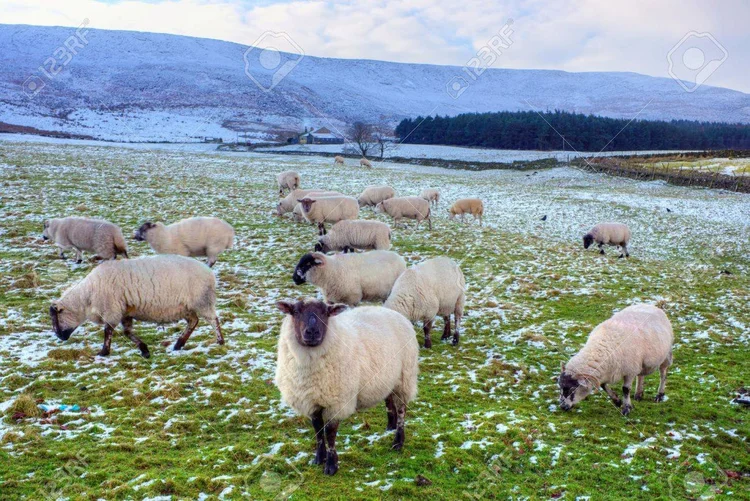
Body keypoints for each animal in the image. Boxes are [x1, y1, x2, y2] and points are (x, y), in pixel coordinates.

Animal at [49, 255, 223, 358]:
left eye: (56, 317)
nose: (59, 337)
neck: (86, 296)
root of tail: (209, 272)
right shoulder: (125, 311)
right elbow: (127, 332)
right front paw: (144, 349)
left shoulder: (111, 309)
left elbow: (108, 331)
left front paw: (103, 352)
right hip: (185, 307)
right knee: (193, 322)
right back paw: (178, 344)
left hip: (202, 301)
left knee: (213, 319)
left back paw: (220, 341)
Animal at [275, 299, 419, 475]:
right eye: (295, 312)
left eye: (325, 313)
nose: (312, 332)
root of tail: (396, 314)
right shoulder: (311, 401)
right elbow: (318, 431)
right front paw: (318, 458)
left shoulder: (336, 402)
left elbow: (330, 433)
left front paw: (331, 465)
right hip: (388, 378)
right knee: (389, 400)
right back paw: (390, 427)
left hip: (404, 379)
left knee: (401, 410)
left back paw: (398, 441)